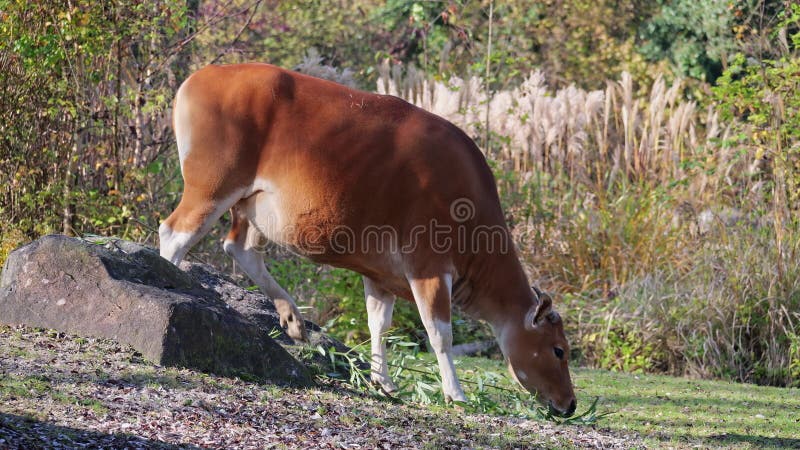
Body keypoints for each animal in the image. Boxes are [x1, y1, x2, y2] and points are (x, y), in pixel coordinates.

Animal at [159, 63, 576, 416]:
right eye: (558, 350)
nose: (570, 404)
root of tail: (198, 76)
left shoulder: (381, 275)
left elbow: (380, 325)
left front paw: (383, 382)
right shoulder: (428, 265)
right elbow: (440, 334)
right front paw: (455, 393)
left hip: (250, 206)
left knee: (240, 248)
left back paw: (292, 318)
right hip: (213, 186)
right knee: (174, 234)